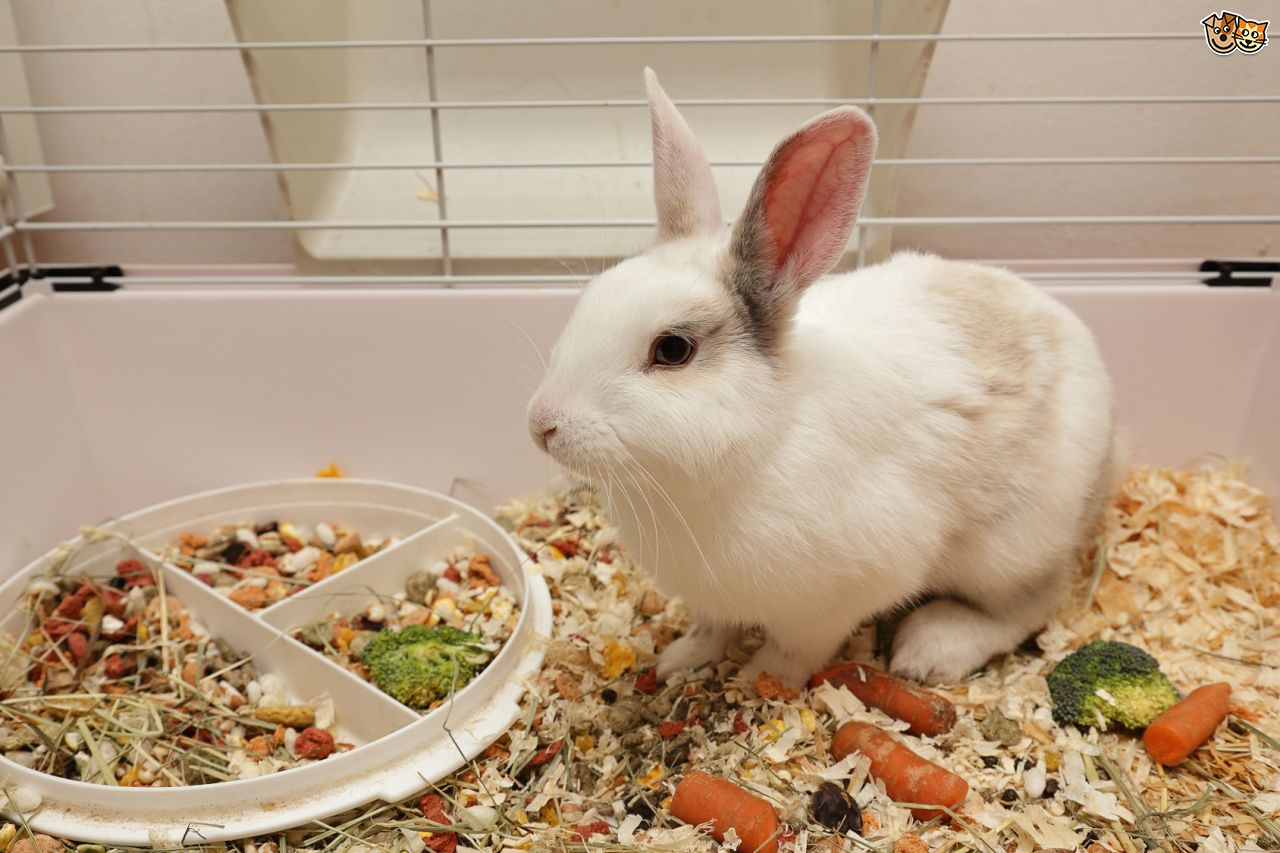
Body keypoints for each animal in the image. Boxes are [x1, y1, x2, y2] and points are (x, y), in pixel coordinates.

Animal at [527, 69, 1116, 688]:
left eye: (672, 349)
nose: (541, 424)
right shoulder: (711, 600)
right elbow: (712, 631)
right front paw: (680, 662)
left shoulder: (827, 606)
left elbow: (795, 651)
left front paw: (758, 682)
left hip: (1011, 547)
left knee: (1033, 601)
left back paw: (930, 649)